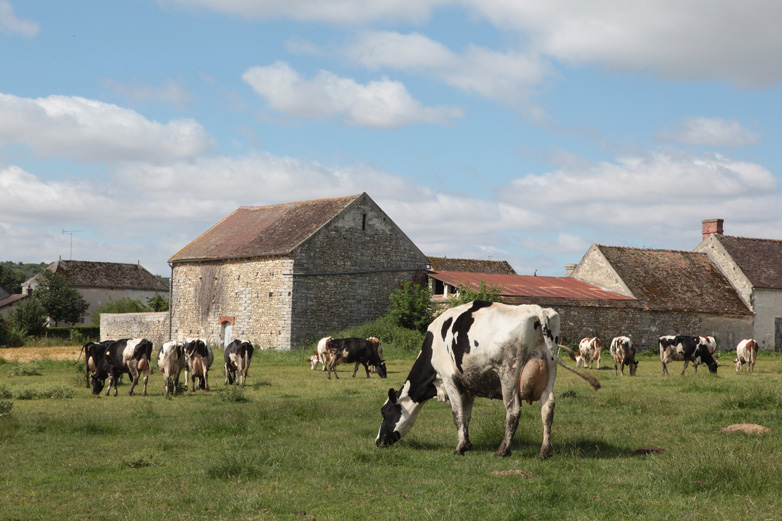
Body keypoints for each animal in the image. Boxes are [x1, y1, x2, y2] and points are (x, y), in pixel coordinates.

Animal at [376, 298, 604, 458]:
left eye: (385, 412)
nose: (377, 442)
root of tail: (534, 309)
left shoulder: (450, 380)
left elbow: (457, 415)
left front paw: (459, 448)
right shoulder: (467, 386)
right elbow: (466, 416)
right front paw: (467, 444)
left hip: (509, 373)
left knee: (513, 410)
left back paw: (503, 450)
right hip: (550, 368)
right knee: (547, 408)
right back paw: (545, 451)